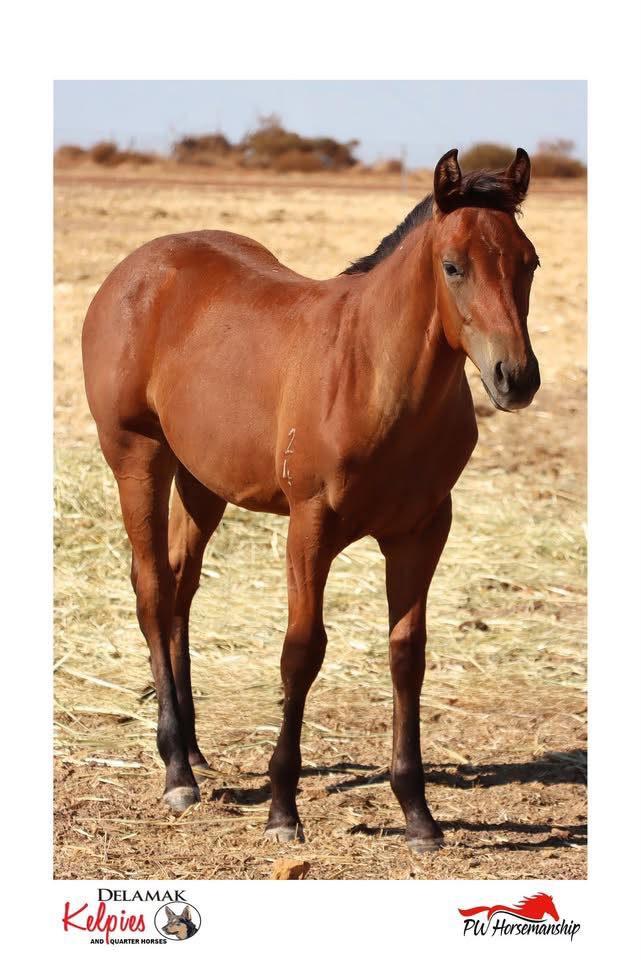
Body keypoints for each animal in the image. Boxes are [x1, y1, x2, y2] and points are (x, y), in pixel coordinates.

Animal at [82, 147, 540, 853]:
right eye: (453, 266)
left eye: (530, 262)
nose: (515, 378)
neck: (376, 376)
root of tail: (134, 270)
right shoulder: (311, 526)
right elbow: (301, 653)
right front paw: (282, 808)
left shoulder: (423, 530)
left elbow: (407, 655)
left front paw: (418, 813)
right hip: (137, 457)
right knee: (154, 590)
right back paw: (177, 771)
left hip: (202, 481)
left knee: (182, 588)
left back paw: (194, 748)